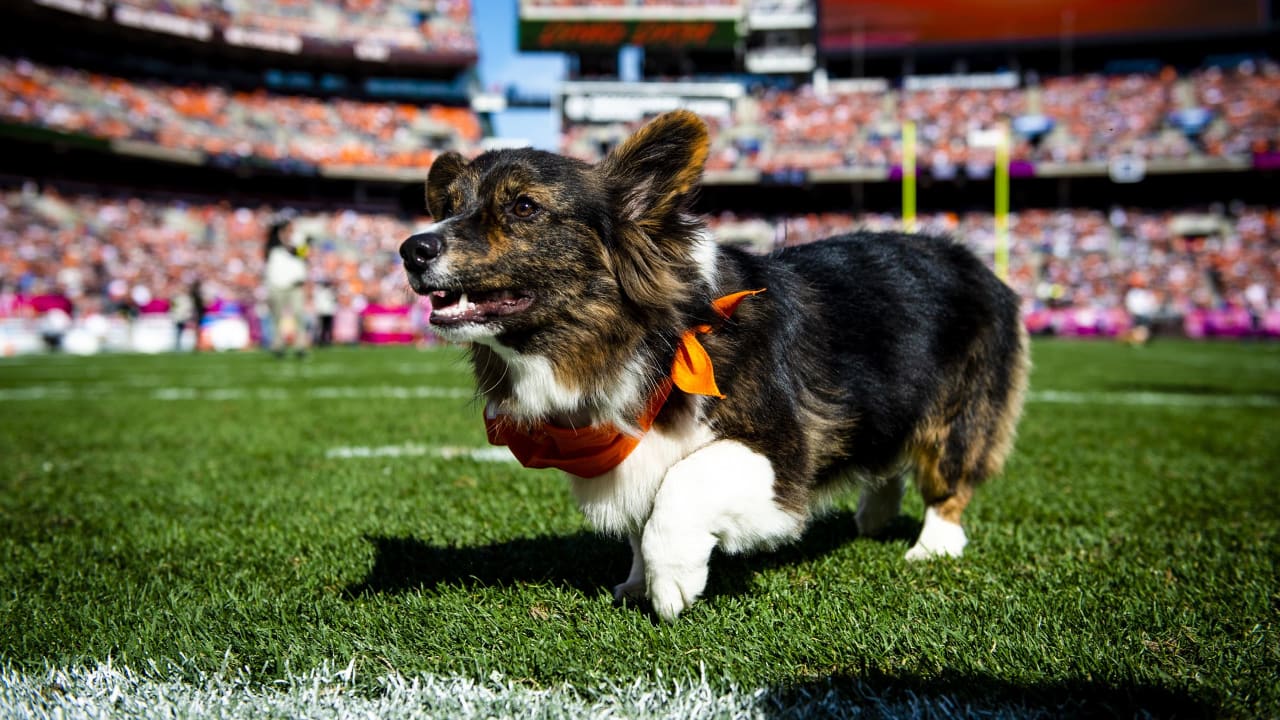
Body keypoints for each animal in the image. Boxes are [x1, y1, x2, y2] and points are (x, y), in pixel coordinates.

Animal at [399, 109, 1029, 620]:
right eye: (449, 207)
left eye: (524, 206)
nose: (410, 249)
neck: (641, 339)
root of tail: (971, 259)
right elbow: (640, 519)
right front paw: (636, 582)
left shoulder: (778, 456)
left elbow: (682, 487)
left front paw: (671, 580)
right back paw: (873, 513)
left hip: (959, 412)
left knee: (948, 478)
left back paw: (932, 545)